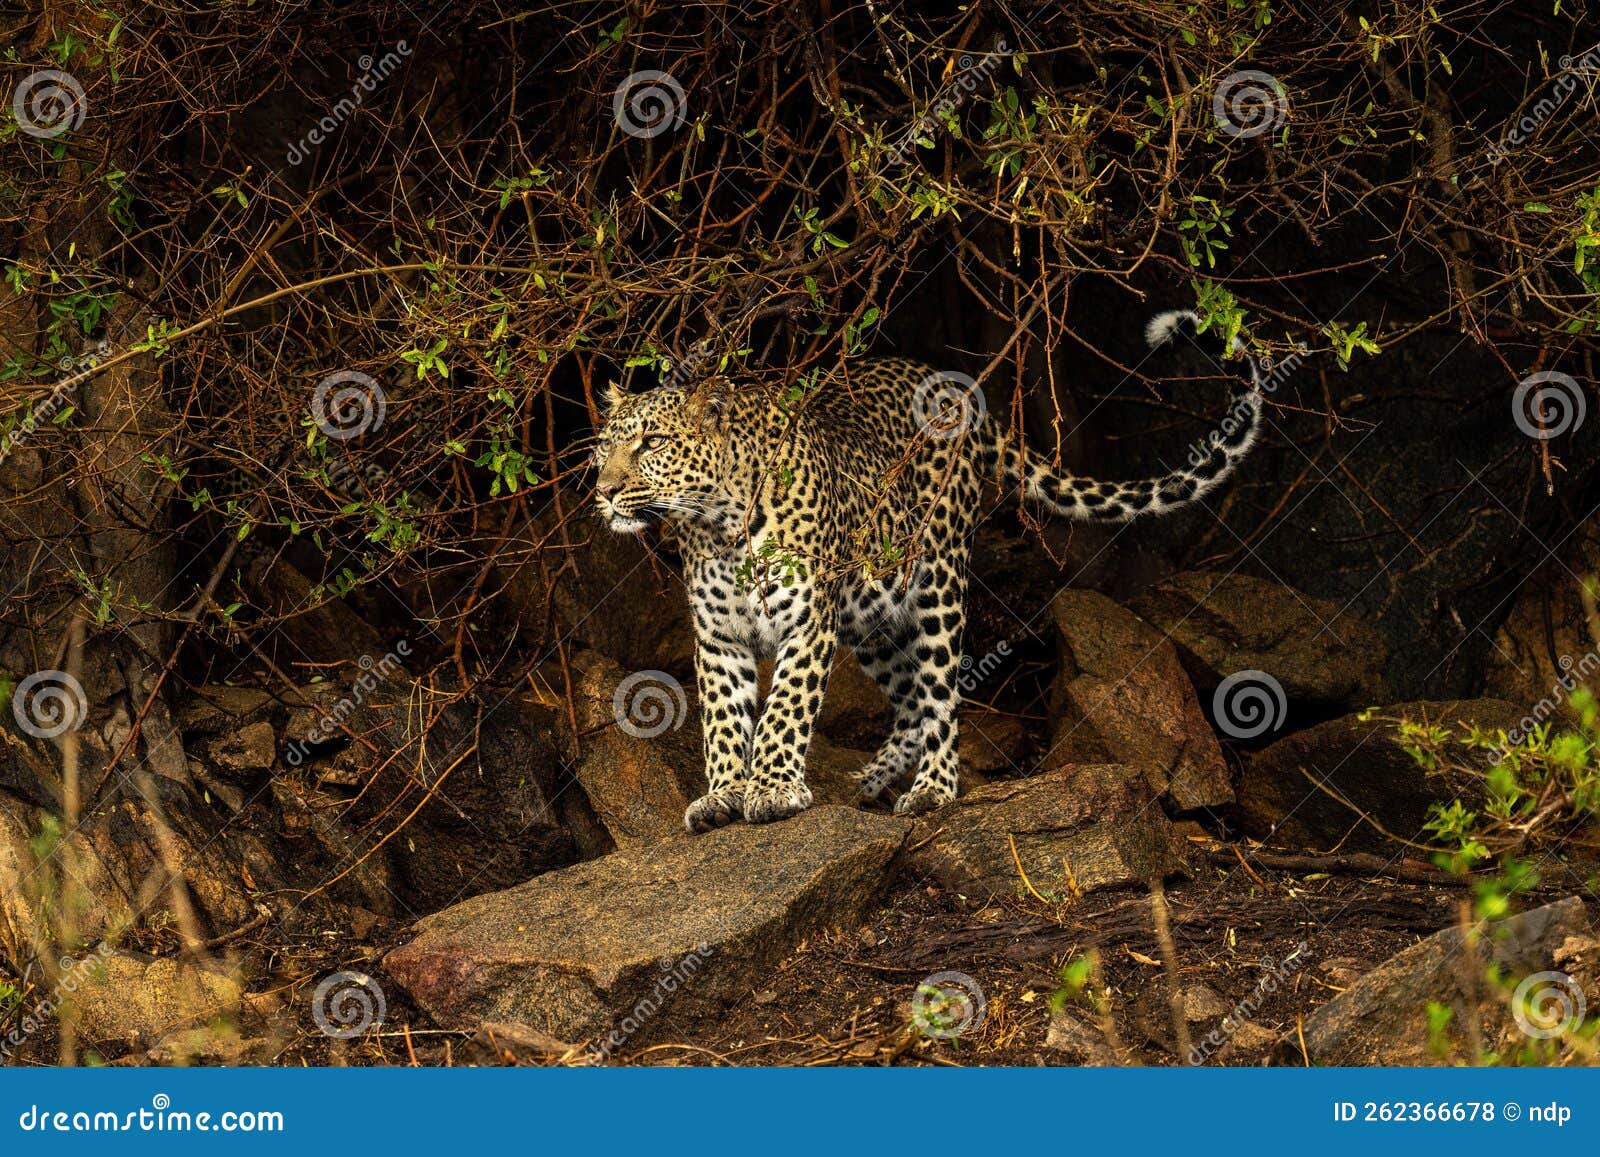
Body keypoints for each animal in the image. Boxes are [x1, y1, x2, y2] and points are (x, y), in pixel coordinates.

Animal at [591, 310, 1264, 833]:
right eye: (604, 449)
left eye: (652, 444)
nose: (603, 491)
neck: (718, 523)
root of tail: (949, 389)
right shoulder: (719, 636)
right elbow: (724, 719)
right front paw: (725, 794)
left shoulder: (807, 622)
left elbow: (785, 707)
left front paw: (774, 789)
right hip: (870, 618)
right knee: (911, 698)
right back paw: (873, 778)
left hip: (939, 578)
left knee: (942, 690)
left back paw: (933, 789)